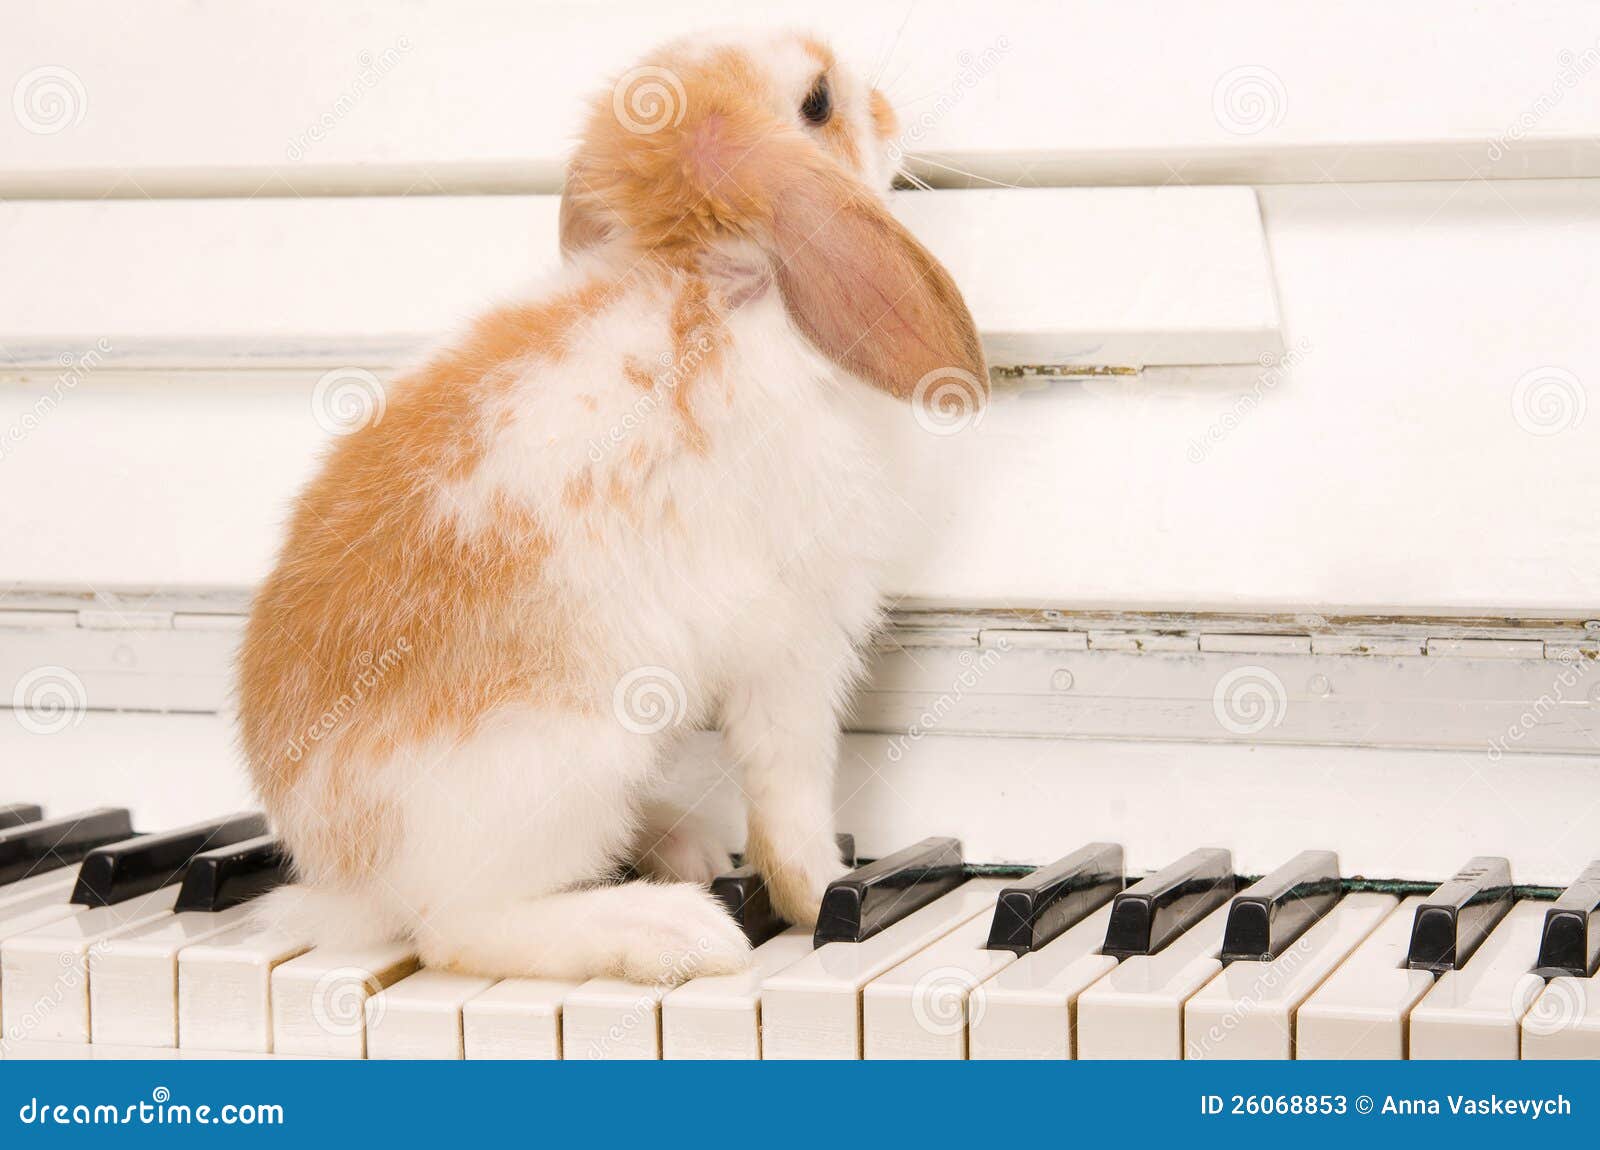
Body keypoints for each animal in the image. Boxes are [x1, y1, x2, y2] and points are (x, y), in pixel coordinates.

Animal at [237, 30, 986, 985]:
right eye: (818, 102)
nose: (887, 108)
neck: (722, 287)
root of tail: (342, 863)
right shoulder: (796, 638)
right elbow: (790, 790)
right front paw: (829, 896)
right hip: (568, 765)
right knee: (457, 930)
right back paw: (674, 930)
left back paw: (680, 847)